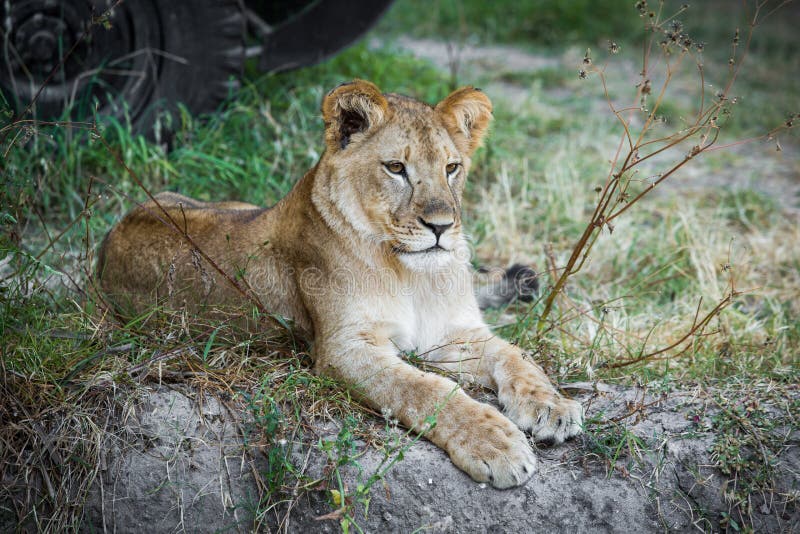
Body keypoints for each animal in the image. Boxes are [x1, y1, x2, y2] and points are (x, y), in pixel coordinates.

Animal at [97, 80, 583, 488]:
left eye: (451, 167)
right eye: (395, 167)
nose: (442, 226)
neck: (412, 274)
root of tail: (113, 232)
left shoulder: (452, 333)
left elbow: (516, 355)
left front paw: (553, 407)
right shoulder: (343, 348)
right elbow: (424, 390)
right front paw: (495, 442)